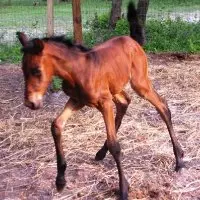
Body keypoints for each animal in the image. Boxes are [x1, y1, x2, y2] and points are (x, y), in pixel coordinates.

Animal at [16, 2, 184, 199]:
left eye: (36, 70)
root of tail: (132, 41)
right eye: (22, 69)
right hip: (115, 88)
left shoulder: (104, 103)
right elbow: (56, 126)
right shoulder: (77, 100)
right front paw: (60, 180)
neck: (78, 71)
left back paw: (179, 159)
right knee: (125, 102)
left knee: (162, 107)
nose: (30, 103)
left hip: (139, 83)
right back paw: (101, 152)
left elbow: (115, 144)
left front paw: (124, 189)